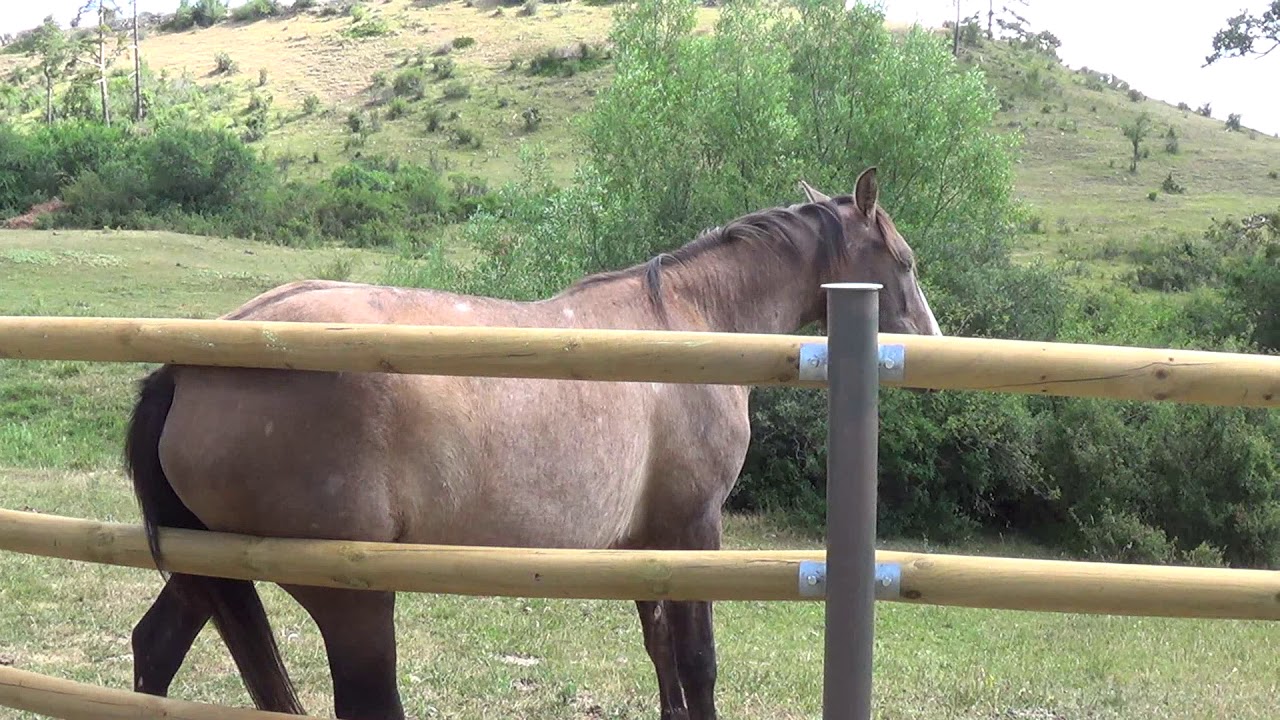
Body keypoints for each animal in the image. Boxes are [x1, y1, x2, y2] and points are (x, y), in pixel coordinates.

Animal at [122, 167, 942, 720]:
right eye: (903, 263)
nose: (931, 348)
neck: (685, 325)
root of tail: (190, 366)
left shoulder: (645, 543)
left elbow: (663, 655)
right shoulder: (693, 527)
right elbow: (699, 662)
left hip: (217, 563)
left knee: (155, 646)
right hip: (351, 598)